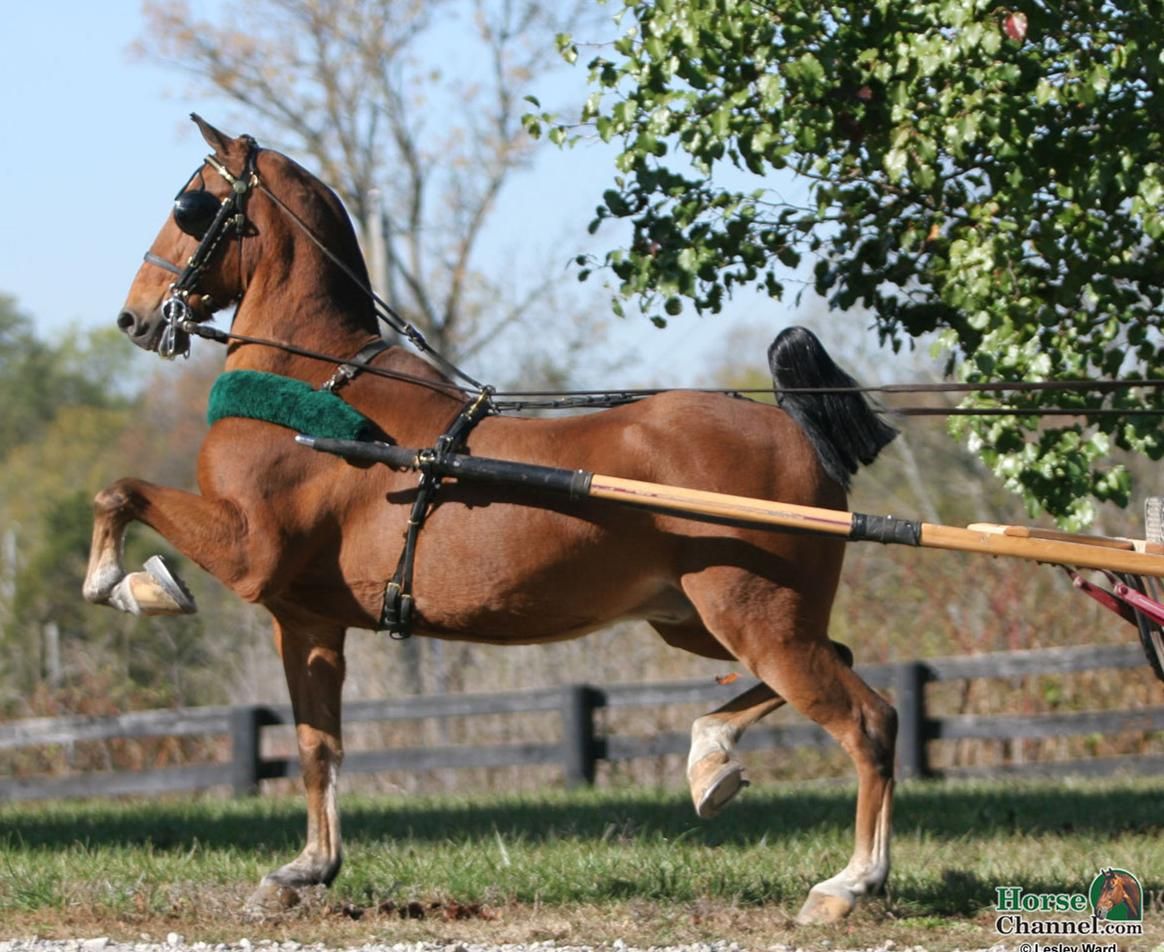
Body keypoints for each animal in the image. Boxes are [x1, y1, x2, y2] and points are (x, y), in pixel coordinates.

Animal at [84, 114, 899, 924]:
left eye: (190, 205)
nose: (135, 314)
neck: (318, 383)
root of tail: (795, 429)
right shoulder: (305, 617)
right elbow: (319, 748)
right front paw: (307, 869)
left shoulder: (249, 553)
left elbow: (120, 494)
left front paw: (131, 584)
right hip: (701, 619)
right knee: (847, 669)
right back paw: (712, 760)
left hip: (755, 620)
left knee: (869, 722)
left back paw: (849, 882)